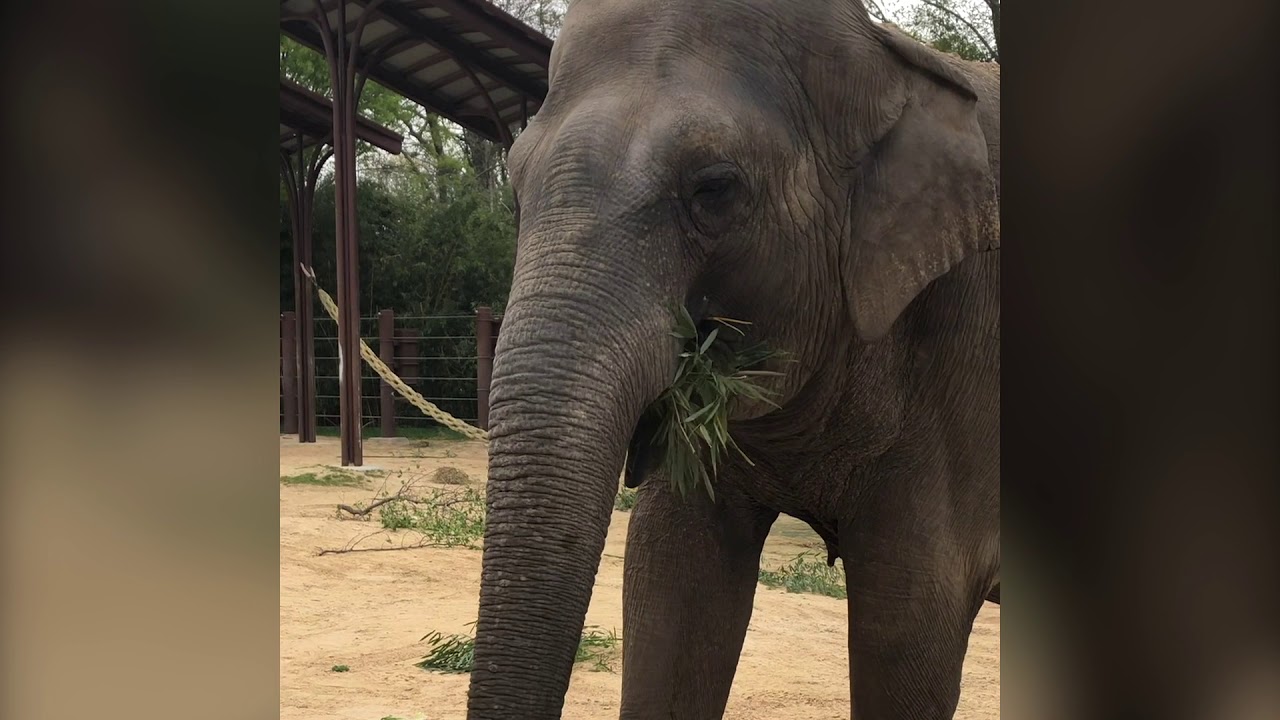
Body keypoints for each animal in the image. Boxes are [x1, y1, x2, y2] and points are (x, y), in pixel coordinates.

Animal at [466, 0, 999, 718]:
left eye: (715, 188)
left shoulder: (962, 361)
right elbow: (672, 580)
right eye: (516, 188)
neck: (888, 57)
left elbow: (911, 623)